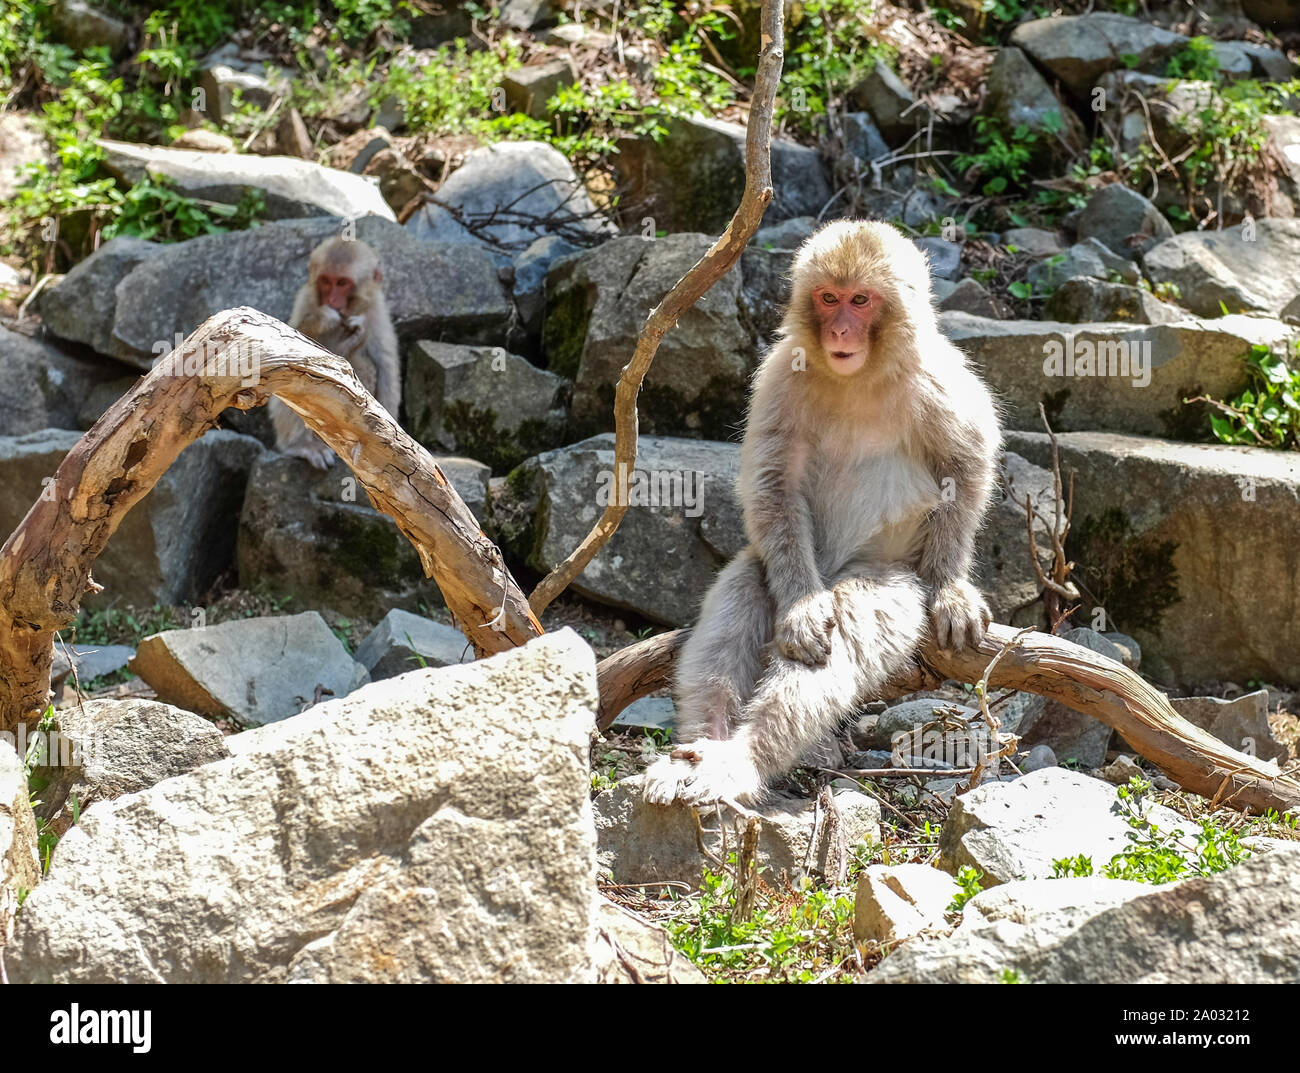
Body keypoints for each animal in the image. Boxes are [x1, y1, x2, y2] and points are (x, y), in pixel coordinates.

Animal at [270, 236, 401, 469]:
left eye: (342, 283)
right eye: (325, 281)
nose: (331, 301)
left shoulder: (376, 314)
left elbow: (386, 369)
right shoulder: (305, 300)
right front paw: (324, 319)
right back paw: (300, 445)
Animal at [642, 219, 1001, 807]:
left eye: (861, 300)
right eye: (829, 298)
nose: (840, 331)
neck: (861, 376)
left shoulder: (938, 379)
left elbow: (966, 463)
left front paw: (950, 585)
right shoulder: (779, 375)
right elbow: (775, 485)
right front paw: (801, 613)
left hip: (885, 576)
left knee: (851, 622)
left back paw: (743, 759)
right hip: (798, 565)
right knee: (748, 585)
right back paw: (704, 745)